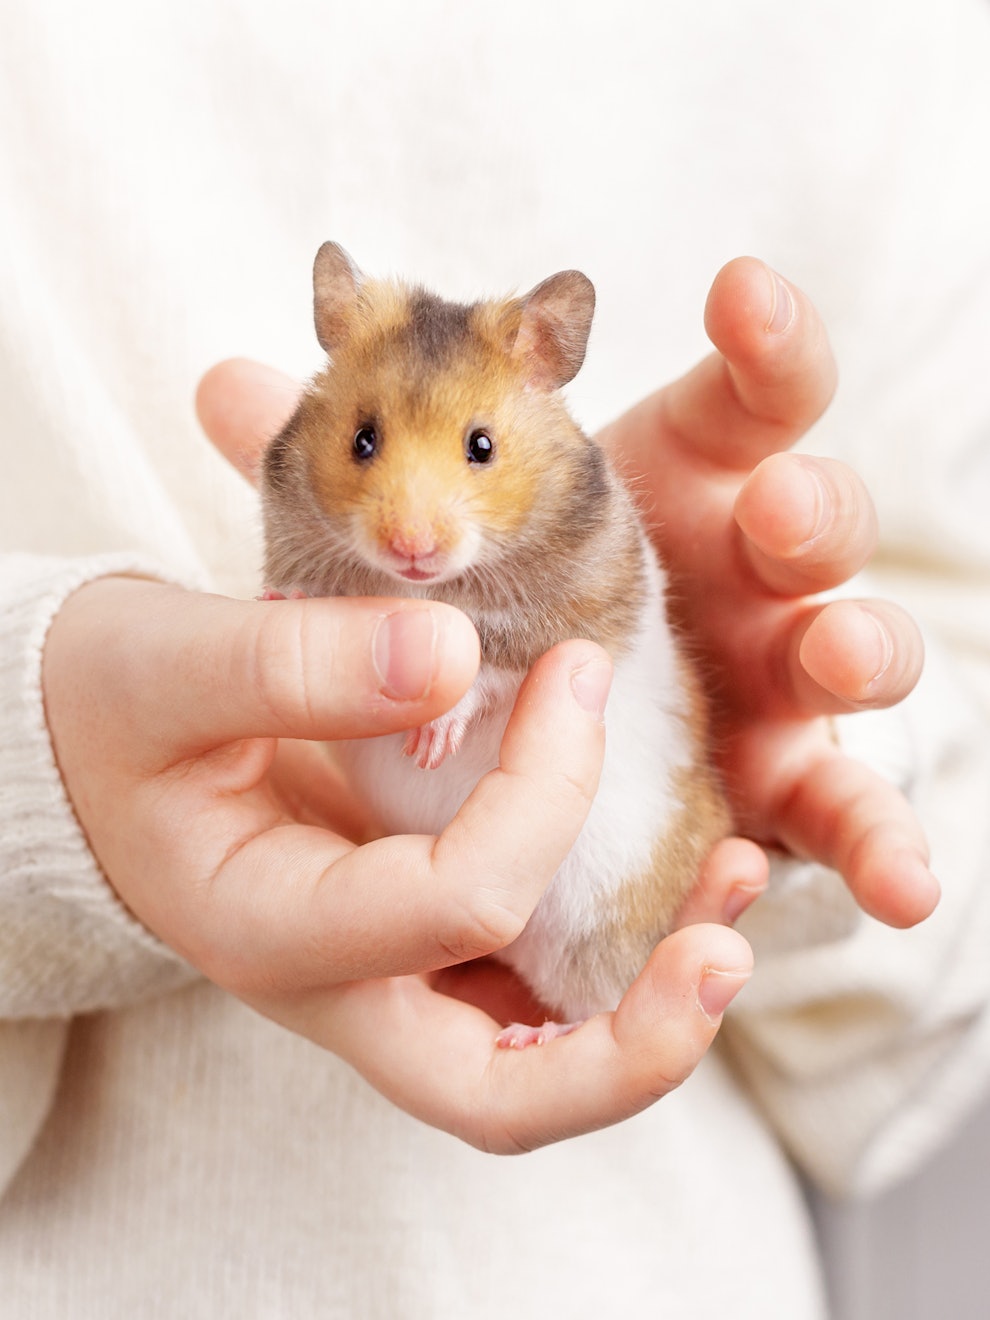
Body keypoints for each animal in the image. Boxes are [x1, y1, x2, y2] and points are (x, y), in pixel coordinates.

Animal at [260, 241, 731, 1031]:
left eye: (481, 446)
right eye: (363, 439)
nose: (410, 548)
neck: (424, 587)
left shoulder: (568, 618)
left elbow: (493, 668)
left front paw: (428, 744)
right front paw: (272, 599)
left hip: (600, 919)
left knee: (607, 1000)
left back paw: (532, 1037)